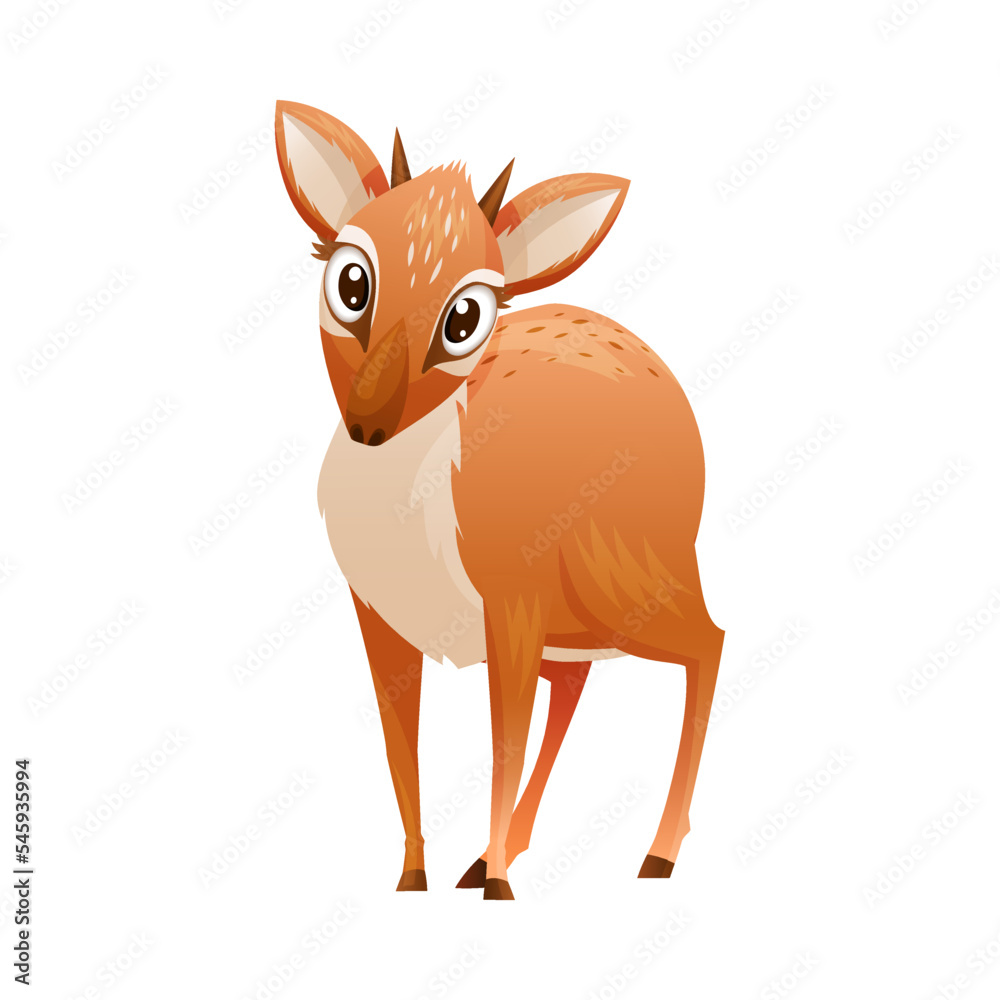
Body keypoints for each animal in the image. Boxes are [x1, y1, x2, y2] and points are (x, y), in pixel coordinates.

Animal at [274, 101, 725, 900]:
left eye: (464, 320)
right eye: (352, 283)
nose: (368, 424)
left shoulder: (513, 605)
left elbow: (502, 739)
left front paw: (497, 888)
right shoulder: (379, 618)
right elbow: (401, 745)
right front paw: (415, 878)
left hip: (626, 587)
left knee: (710, 645)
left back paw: (652, 858)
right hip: (575, 621)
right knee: (575, 681)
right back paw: (493, 858)